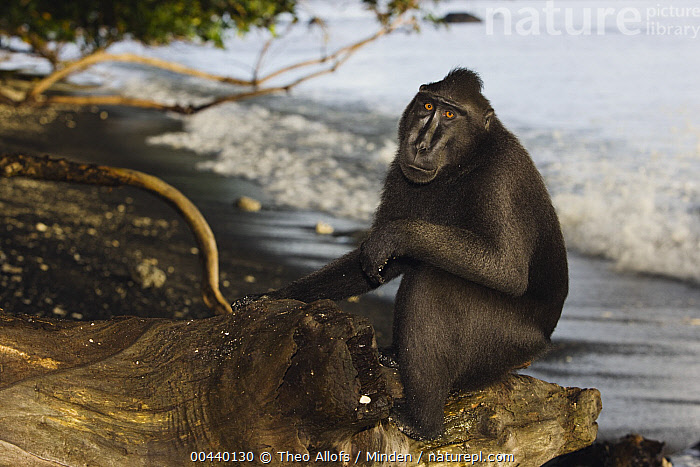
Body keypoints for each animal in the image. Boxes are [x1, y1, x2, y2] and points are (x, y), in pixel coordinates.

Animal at [232, 68, 568, 440]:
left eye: (449, 115)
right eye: (427, 106)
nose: (421, 145)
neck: (464, 162)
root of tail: (543, 340)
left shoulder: (499, 179)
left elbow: (505, 269)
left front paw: (394, 235)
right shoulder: (400, 169)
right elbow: (376, 262)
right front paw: (273, 296)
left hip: (510, 342)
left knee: (432, 284)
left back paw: (423, 423)